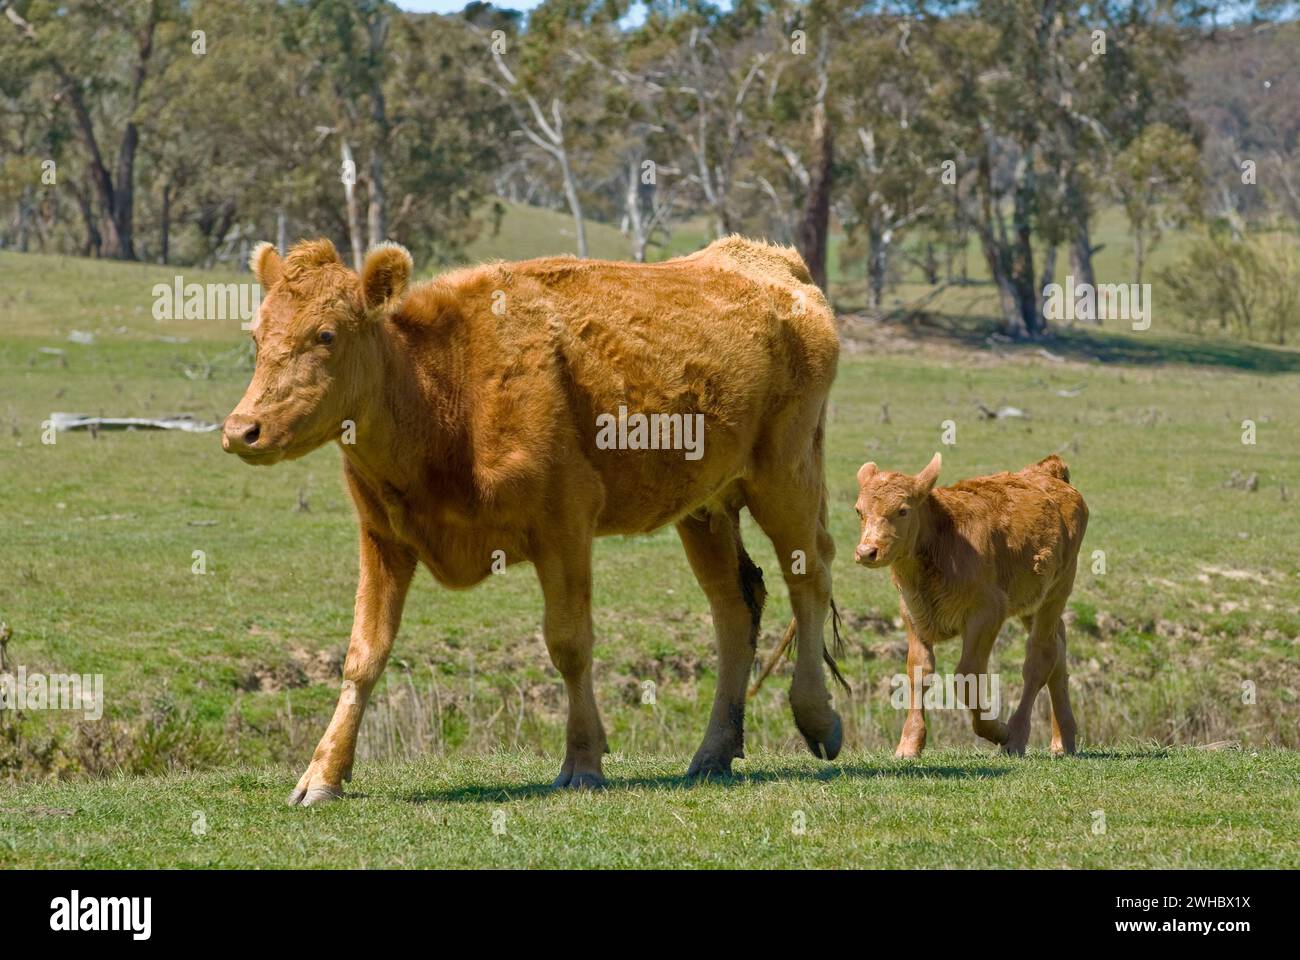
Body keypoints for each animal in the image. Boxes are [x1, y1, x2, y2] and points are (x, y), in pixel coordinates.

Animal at [222, 236, 845, 803]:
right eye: (256, 336)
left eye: (326, 335)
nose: (241, 430)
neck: (443, 389)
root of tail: (768, 262)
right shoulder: (382, 539)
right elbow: (362, 655)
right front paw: (322, 774)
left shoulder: (564, 526)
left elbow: (569, 644)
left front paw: (584, 762)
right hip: (704, 508)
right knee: (734, 606)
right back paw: (713, 753)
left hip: (785, 475)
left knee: (809, 576)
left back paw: (816, 718)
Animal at [851, 453, 1088, 757]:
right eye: (859, 511)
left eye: (903, 510)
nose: (867, 552)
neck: (944, 536)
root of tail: (1048, 472)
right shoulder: (912, 613)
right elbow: (918, 670)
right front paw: (909, 744)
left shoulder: (987, 612)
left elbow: (966, 674)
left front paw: (996, 730)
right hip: (1031, 604)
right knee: (1058, 650)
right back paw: (1063, 740)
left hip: (1057, 591)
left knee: (1040, 657)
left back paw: (1015, 737)